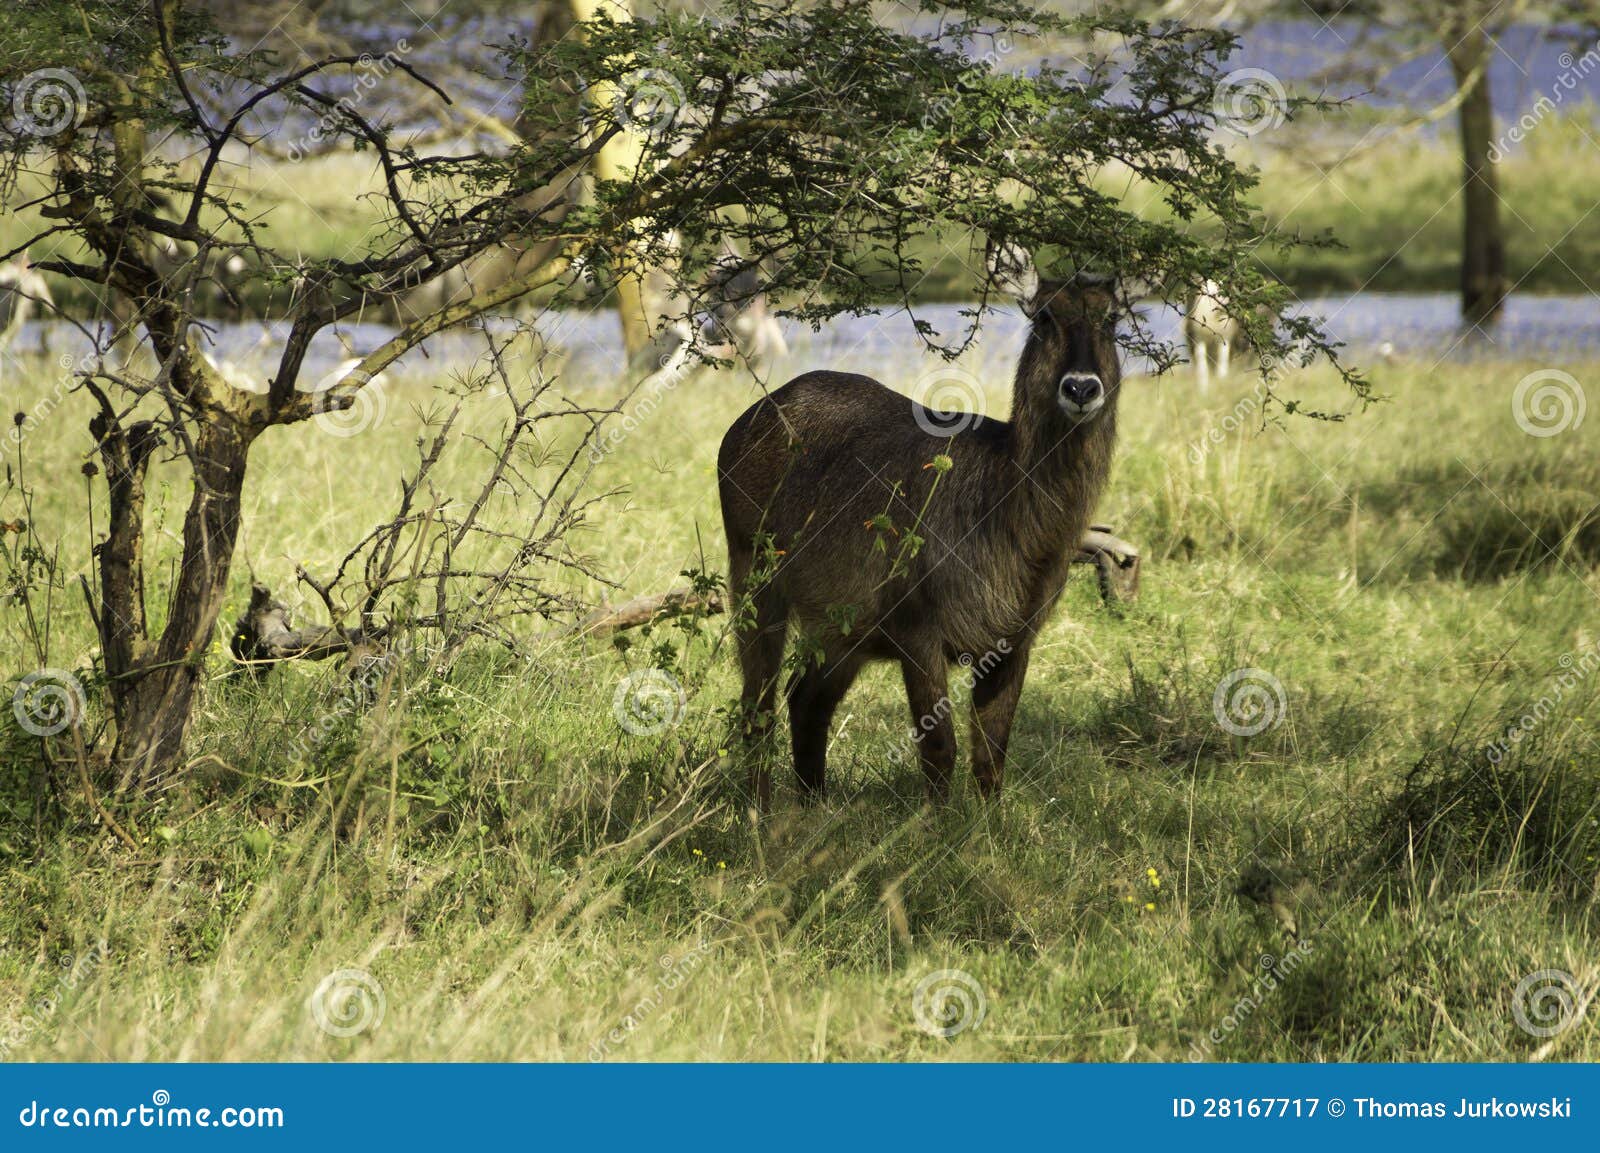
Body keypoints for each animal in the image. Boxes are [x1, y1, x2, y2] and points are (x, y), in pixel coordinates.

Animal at [717, 241, 1124, 811]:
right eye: (1044, 316)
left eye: (1112, 319)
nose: (1082, 387)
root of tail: (755, 413)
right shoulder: (918, 633)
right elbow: (939, 750)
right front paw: (938, 828)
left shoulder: (1013, 642)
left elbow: (992, 756)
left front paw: (987, 827)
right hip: (756, 585)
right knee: (758, 704)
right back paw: (760, 812)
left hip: (843, 630)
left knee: (806, 700)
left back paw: (814, 806)